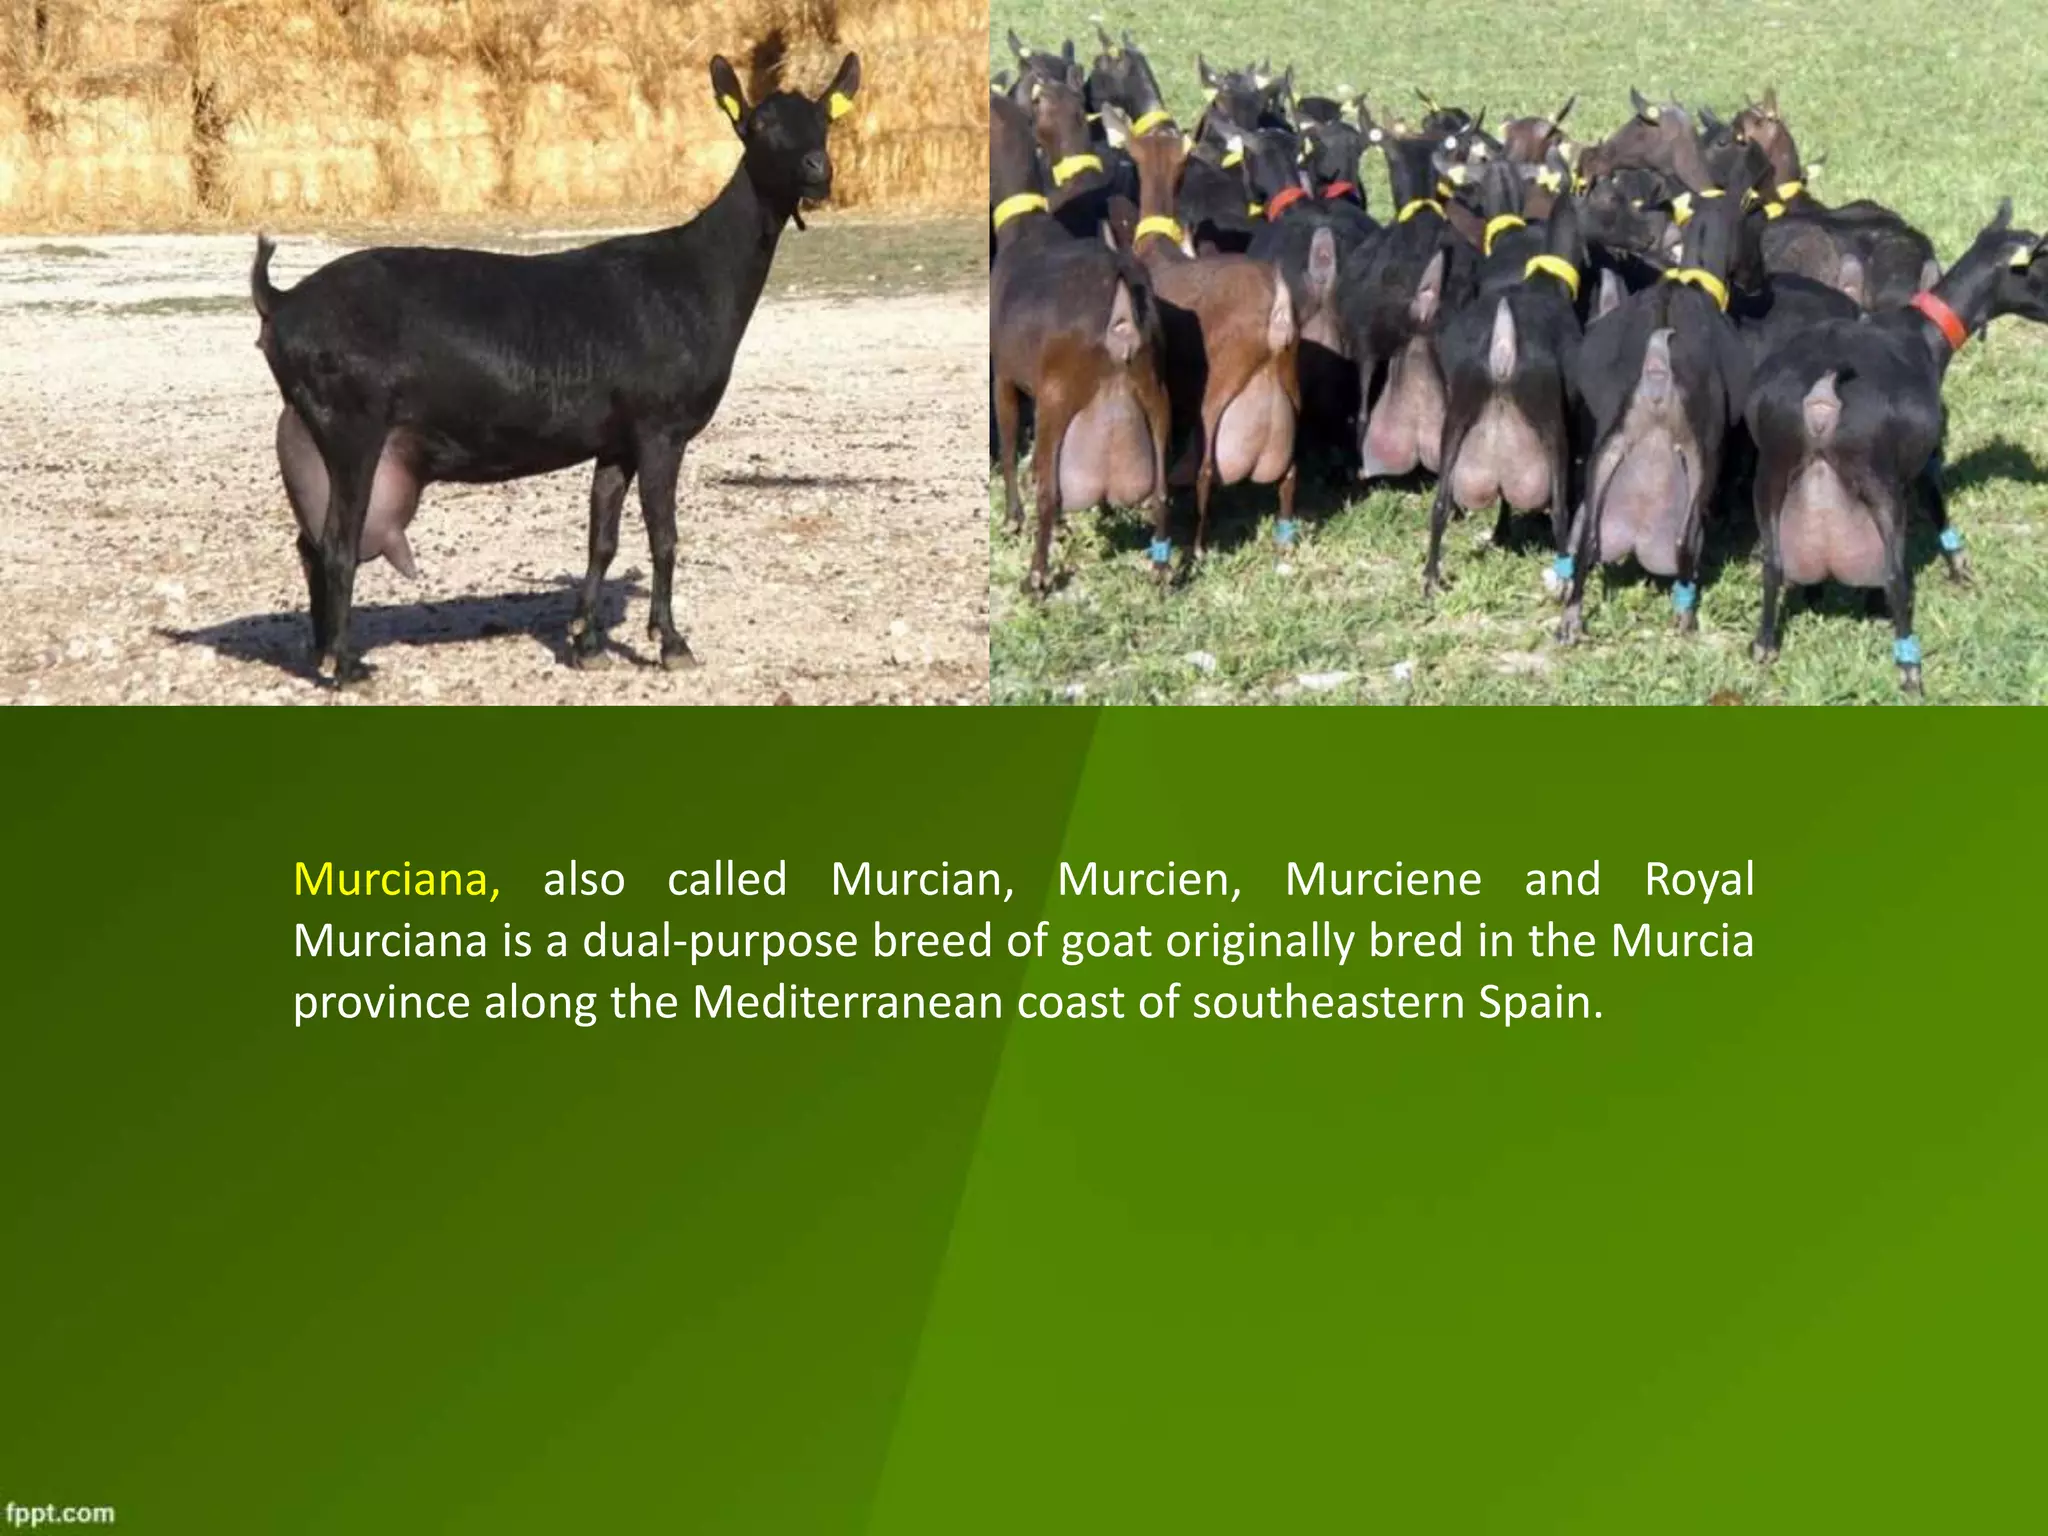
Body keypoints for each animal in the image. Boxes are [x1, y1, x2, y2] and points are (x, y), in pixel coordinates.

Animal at [250, 54, 860, 682]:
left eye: (824, 120)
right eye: (758, 126)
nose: (818, 169)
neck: (697, 275)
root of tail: (279, 301)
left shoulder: (617, 440)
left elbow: (602, 538)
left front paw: (586, 641)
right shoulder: (659, 429)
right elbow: (664, 536)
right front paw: (671, 643)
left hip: (317, 432)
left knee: (310, 545)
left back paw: (321, 651)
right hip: (352, 426)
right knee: (338, 542)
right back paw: (346, 665)